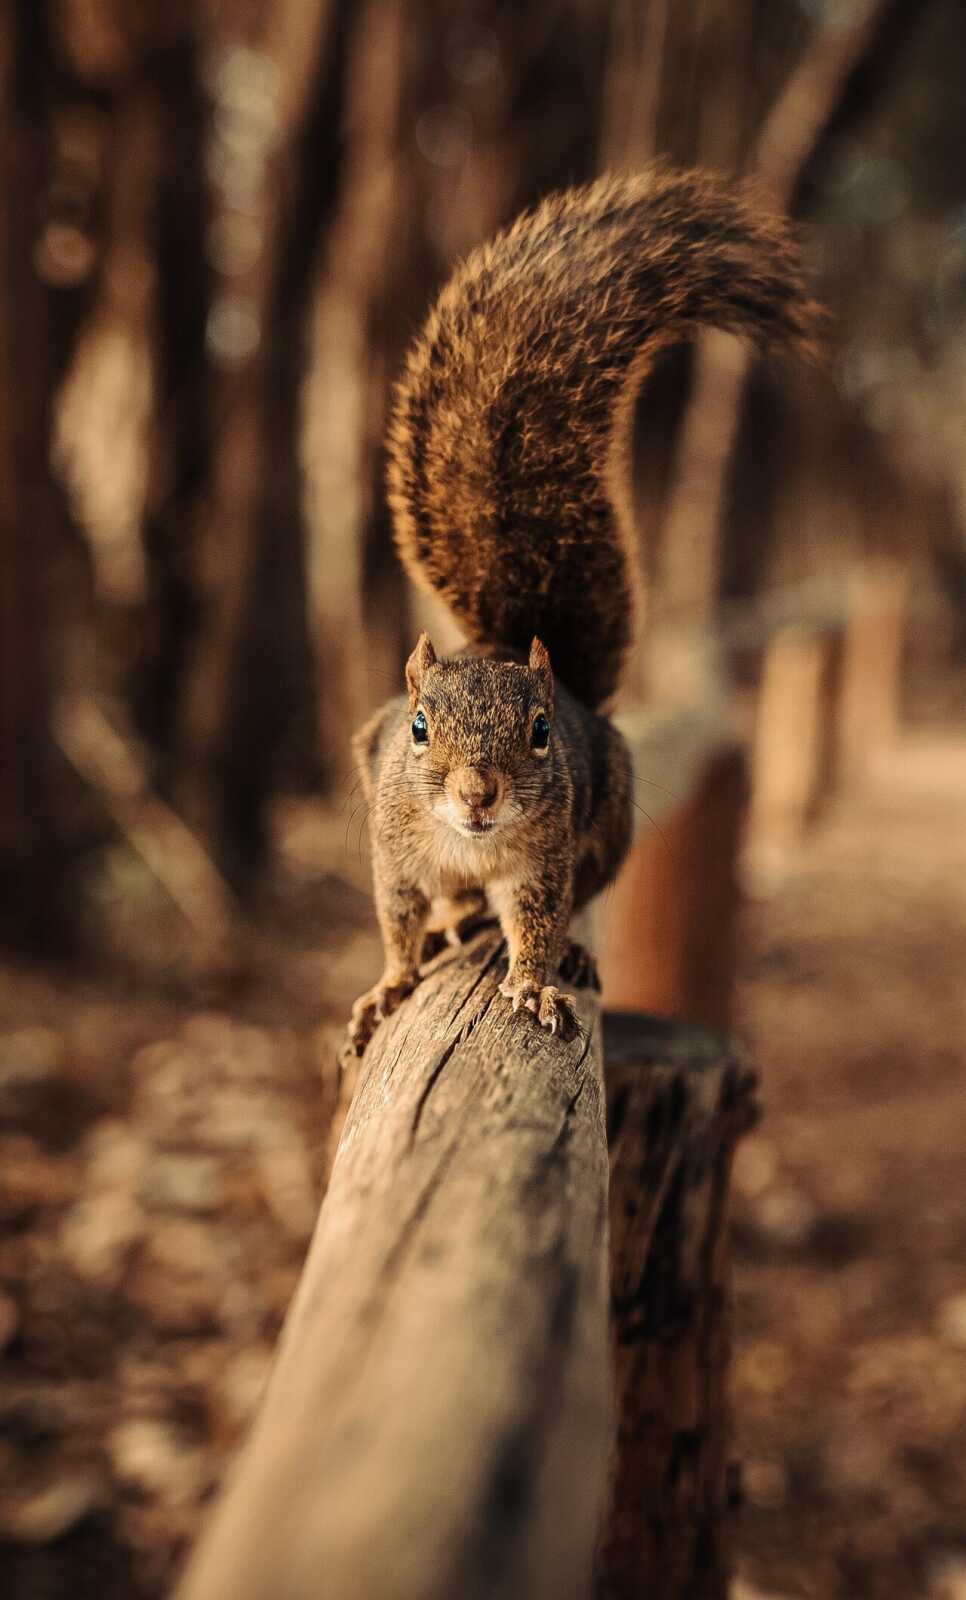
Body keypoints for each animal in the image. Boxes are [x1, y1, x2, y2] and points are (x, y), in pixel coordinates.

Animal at [344, 164, 822, 1058]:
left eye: (539, 732)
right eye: (418, 728)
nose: (478, 794)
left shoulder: (544, 861)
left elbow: (535, 921)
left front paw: (534, 982)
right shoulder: (395, 854)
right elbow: (396, 920)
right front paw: (388, 985)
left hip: (609, 818)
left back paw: (558, 950)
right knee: (447, 910)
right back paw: (451, 925)